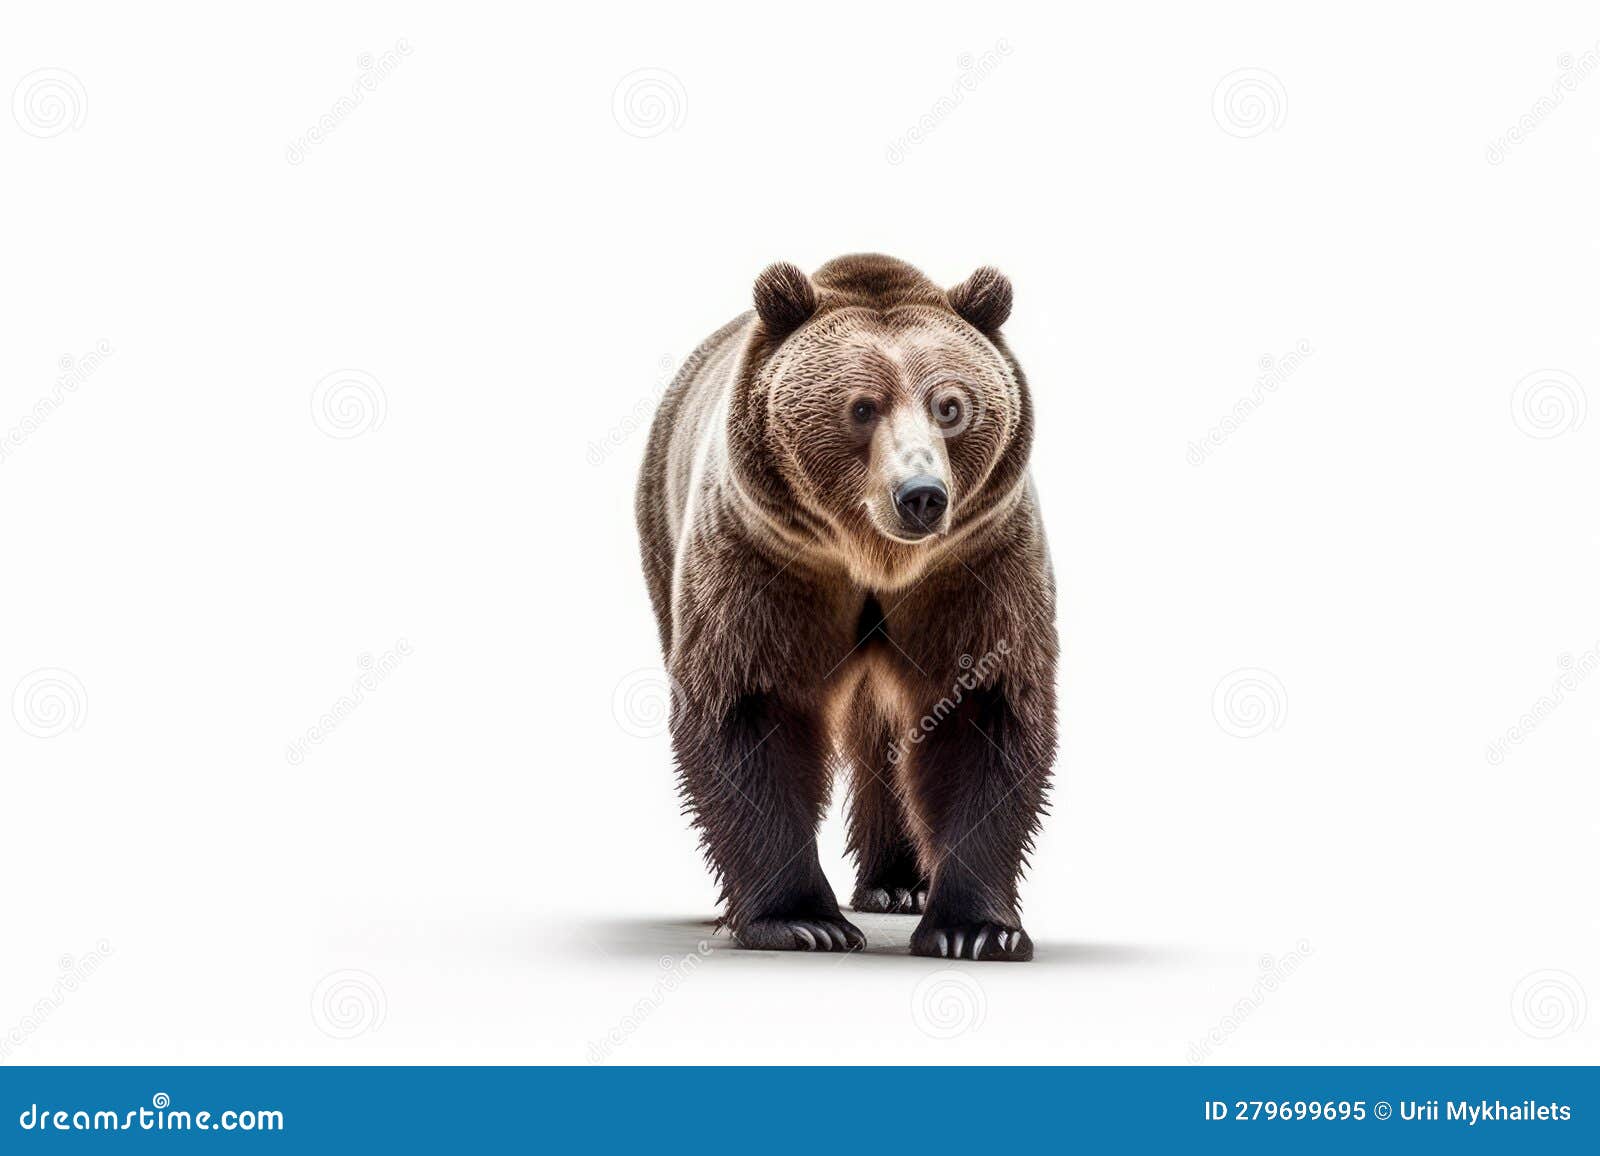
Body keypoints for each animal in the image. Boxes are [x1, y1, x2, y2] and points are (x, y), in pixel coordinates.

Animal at [636, 254, 1057, 960]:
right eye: (862, 406)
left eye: (951, 406)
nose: (922, 495)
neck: (872, 561)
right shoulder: (767, 562)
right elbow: (750, 707)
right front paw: (803, 919)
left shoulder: (975, 566)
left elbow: (981, 709)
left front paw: (975, 929)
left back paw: (898, 884)